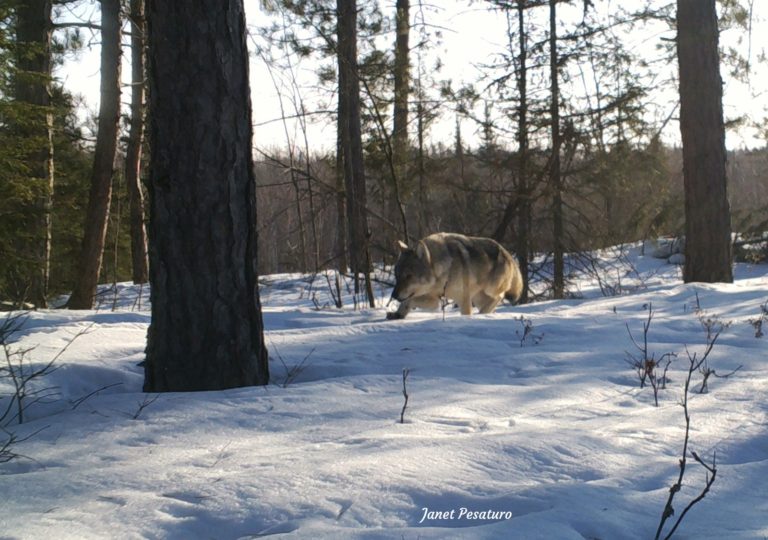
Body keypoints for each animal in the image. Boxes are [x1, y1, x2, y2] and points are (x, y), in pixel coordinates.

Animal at [386, 232, 523, 320]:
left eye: (408, 276)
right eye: (397, 275)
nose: (394, 295)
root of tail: (507, 254)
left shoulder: (463, 300)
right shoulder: (434, 300)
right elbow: (408, 301)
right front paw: (397, 314)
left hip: (490, 290)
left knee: (500, 296)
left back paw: (481, 314)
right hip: (477, 298)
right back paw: (485, 314)